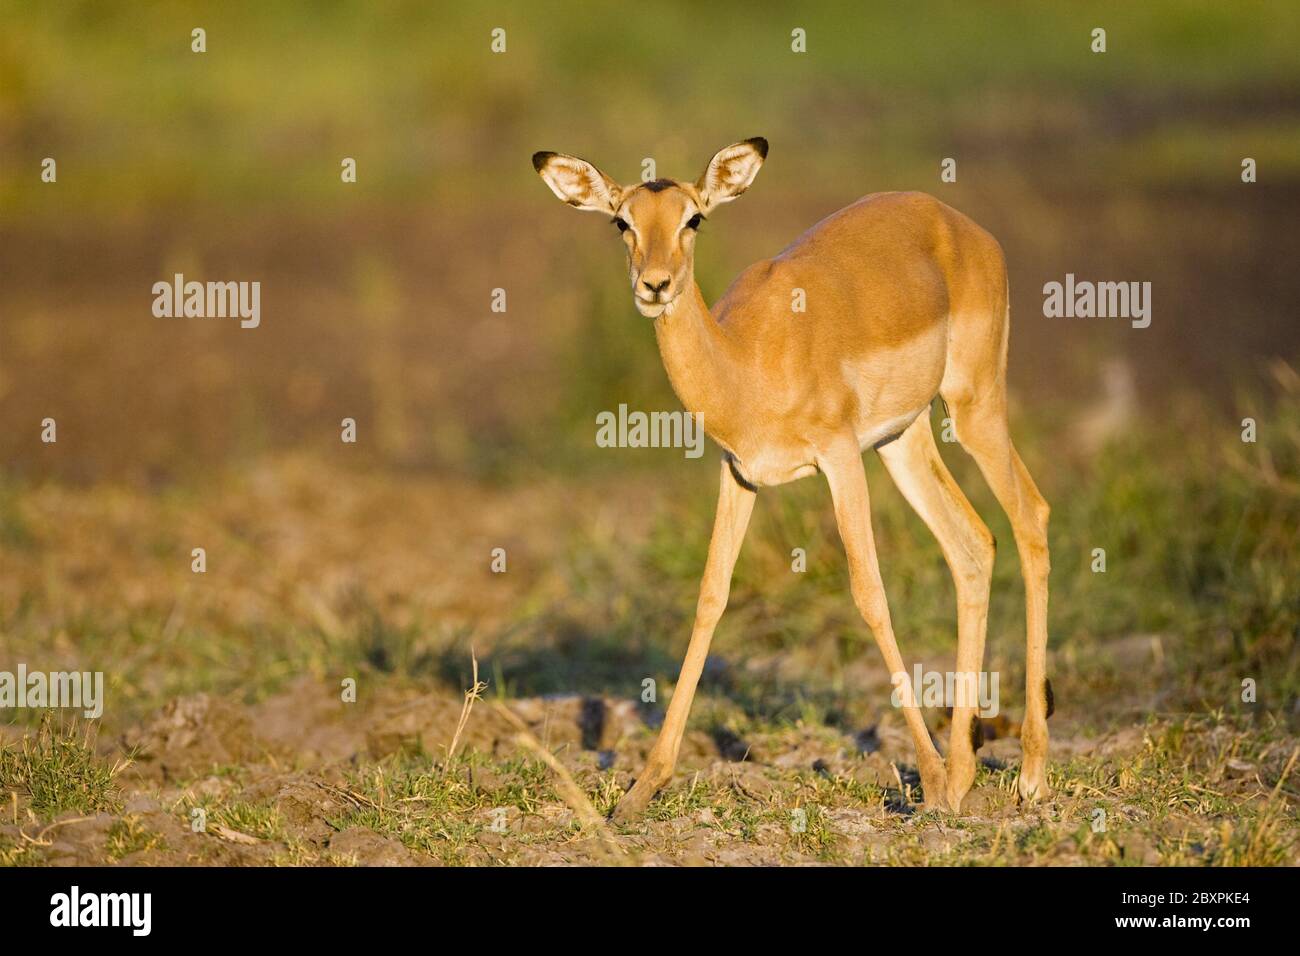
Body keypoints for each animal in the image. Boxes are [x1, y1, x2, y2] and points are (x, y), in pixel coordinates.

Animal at [532, 139, 1052, 819]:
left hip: (973, 408)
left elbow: (869, 593)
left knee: (1031, 518)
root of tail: (961, 225)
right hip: (903, 441)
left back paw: (1027, 776)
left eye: (693, 218)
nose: (655, 285)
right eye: (622, 222)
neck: (748, 359)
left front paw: (931, 784)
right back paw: (965, 774)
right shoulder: (739, 475)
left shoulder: (839, 458)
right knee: (972, 545)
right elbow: (711, 596)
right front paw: (641, 790)